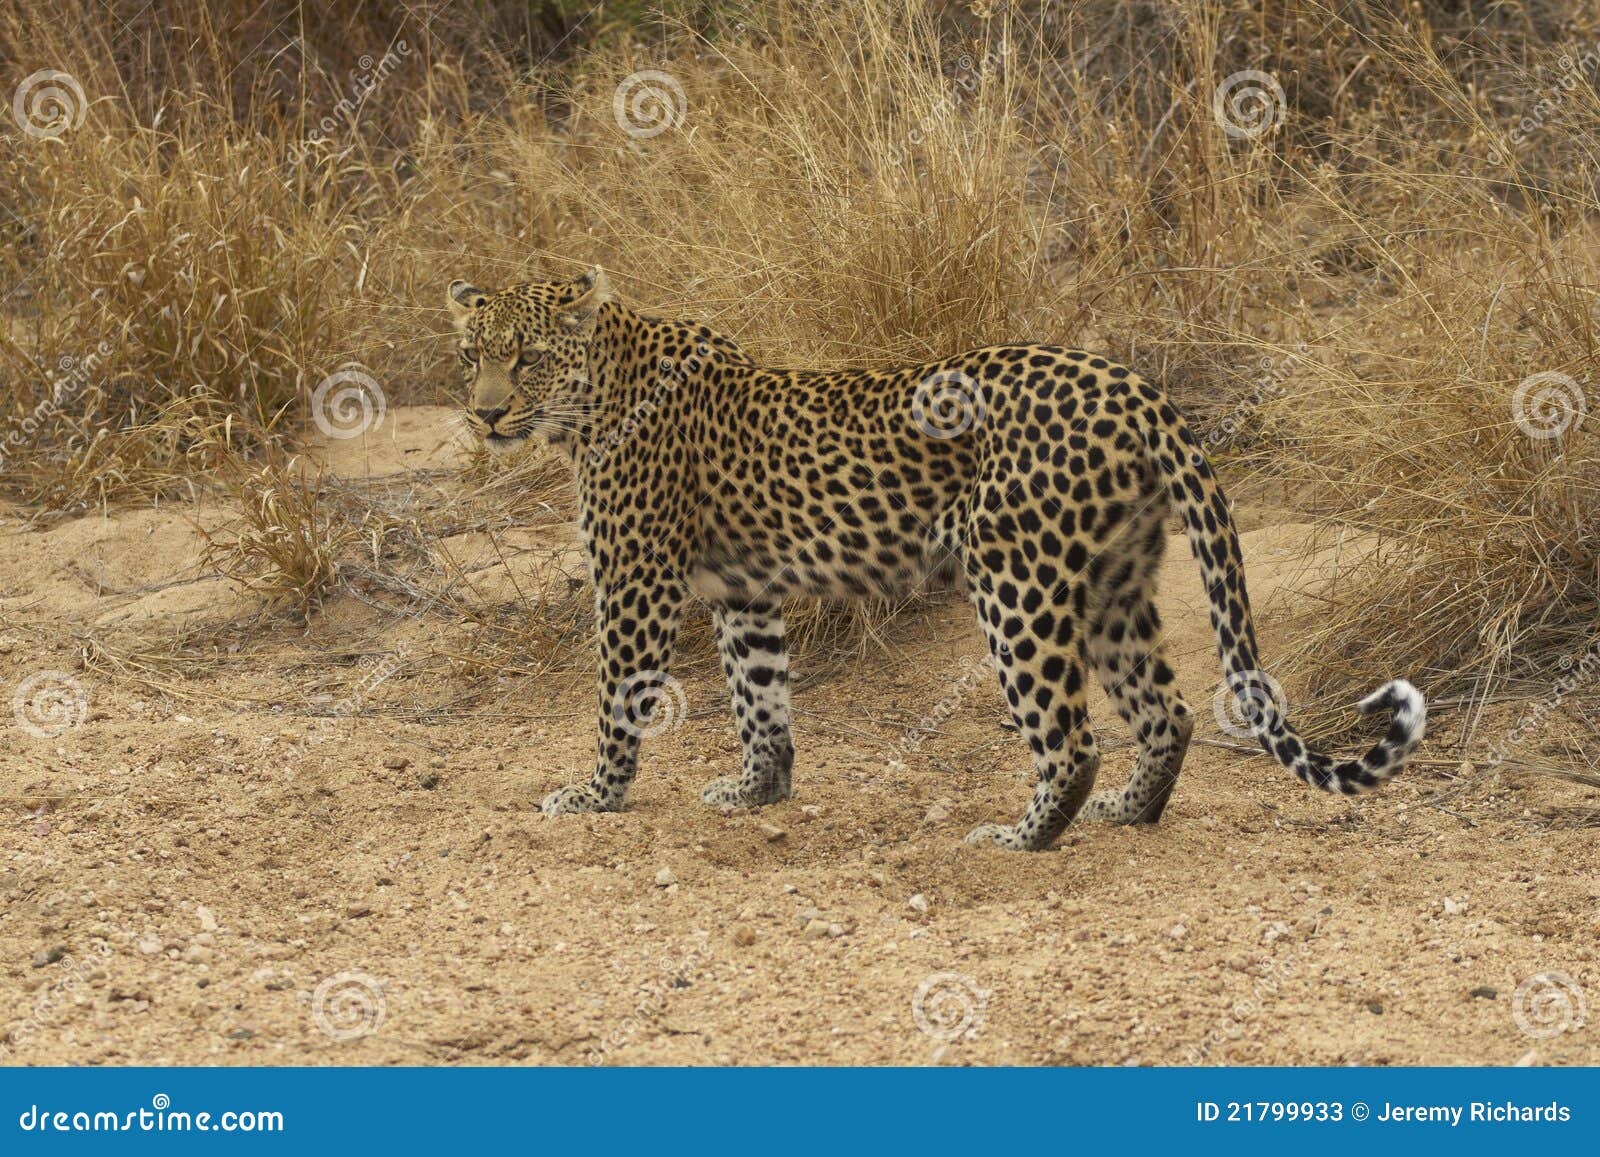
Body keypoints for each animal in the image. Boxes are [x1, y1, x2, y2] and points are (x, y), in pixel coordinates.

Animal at [446, 267, 1426, 851]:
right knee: (1167, 710)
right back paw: (1127, 812)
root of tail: (1132, 384)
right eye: (468, 357)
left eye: (524, 359)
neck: (596, 392)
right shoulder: (746, 591)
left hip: (1019, 582)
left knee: (1071, 737)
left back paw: (1023, 837)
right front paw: (759, 790)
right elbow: (759, 696)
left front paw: (592, 794)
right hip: (1113, 583)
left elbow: (620, 697)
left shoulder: (636, 581)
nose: (484, 416)